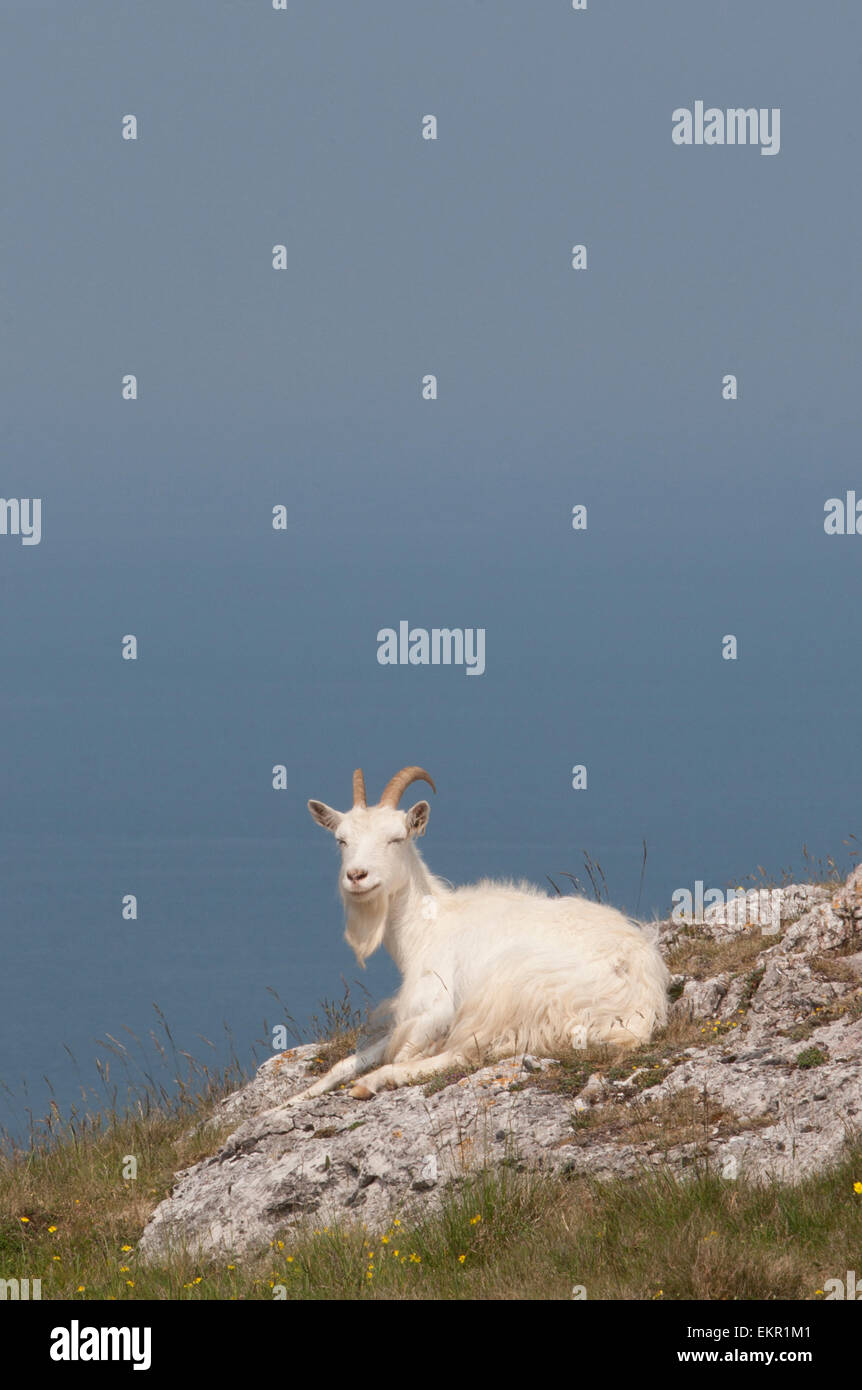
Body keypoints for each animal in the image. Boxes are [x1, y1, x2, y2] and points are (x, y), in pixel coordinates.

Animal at [288, 766, 668, 1103]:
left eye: (396, 838)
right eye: (341, 840)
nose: (356, 876)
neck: (429, 926)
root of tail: (641, 998)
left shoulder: (440, 1007)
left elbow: (408, 1052)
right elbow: (346, 1062)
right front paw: (288, 1103)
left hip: (510, 988)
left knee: (462, 1055)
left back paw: (373, 1082)